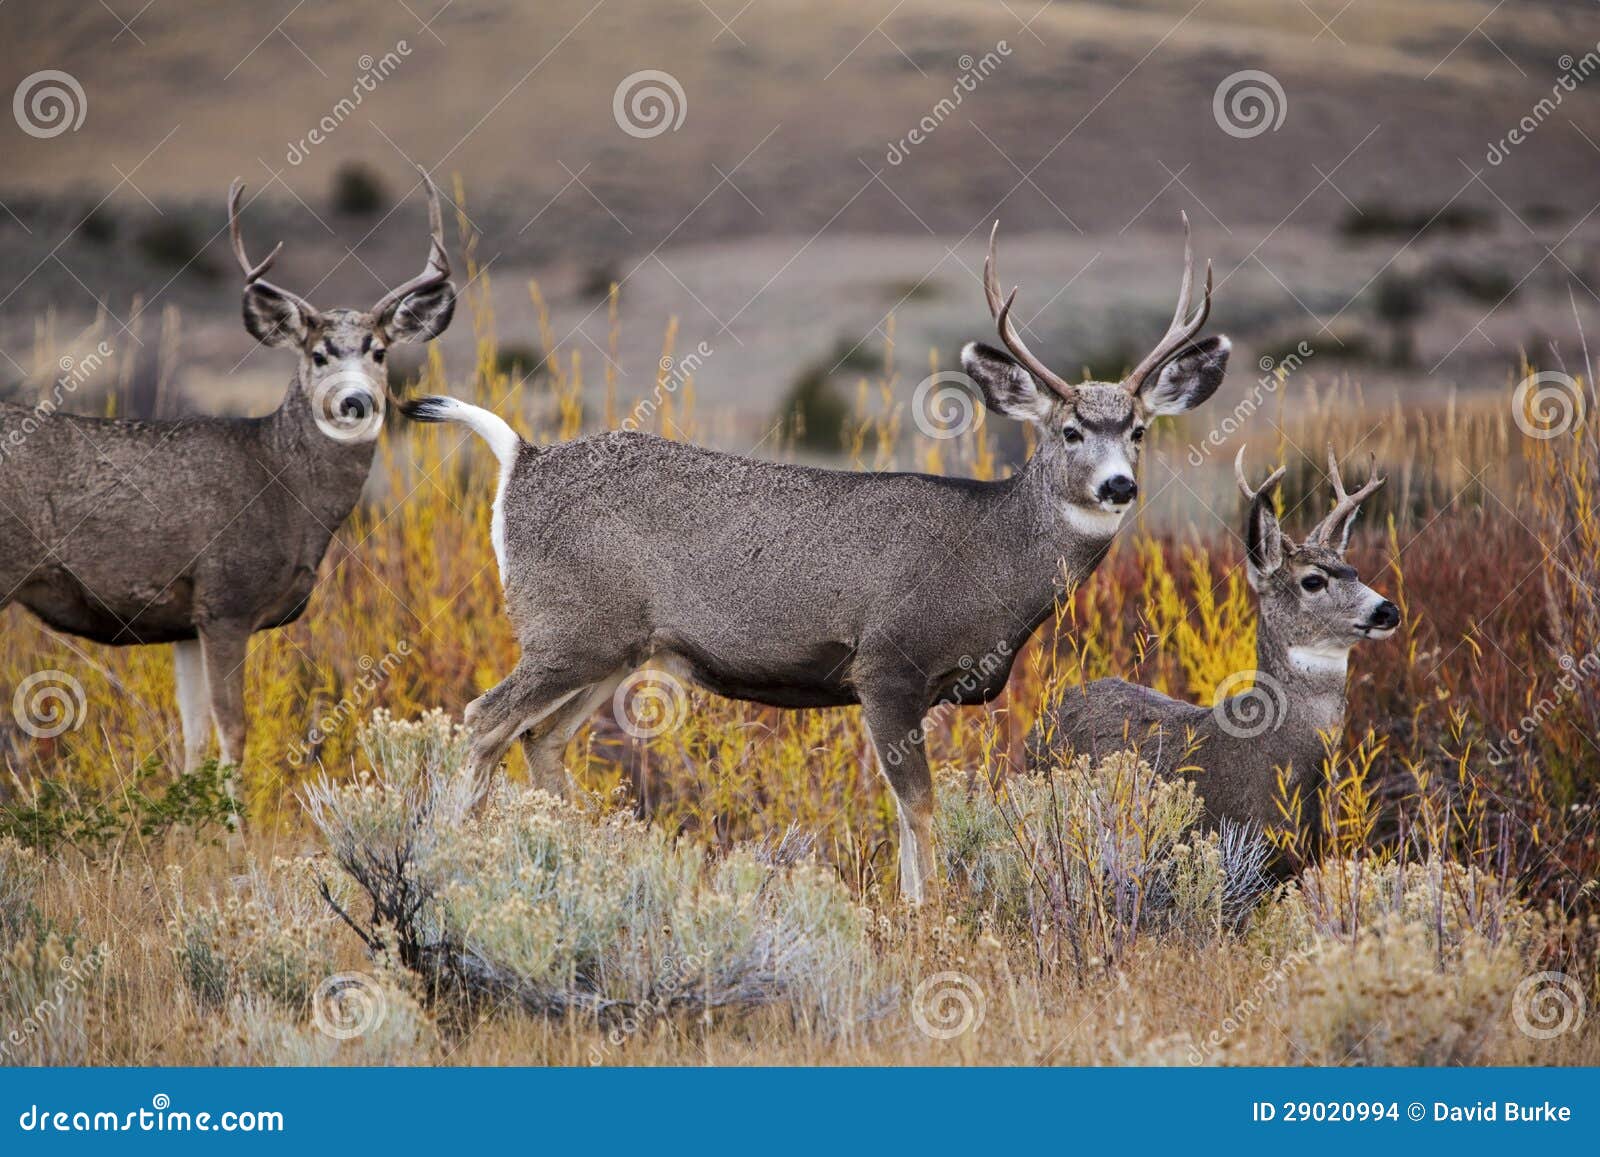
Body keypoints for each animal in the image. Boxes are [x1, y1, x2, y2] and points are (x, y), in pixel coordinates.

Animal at [0, 166, 456, 779]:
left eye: (380, 351)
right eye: (317, 354)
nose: (355, 401)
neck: (283, 484)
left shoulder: (185, 622)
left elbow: (192, 743)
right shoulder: (226, 601)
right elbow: (233, 733)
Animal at [398, 215, 1230, 902]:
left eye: (1140, 430)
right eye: (1068, 430)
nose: (1119, 484)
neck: (993, 554)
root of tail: (522, 459)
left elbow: (903, 815)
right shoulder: (887, 663)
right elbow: (921, 809)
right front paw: (930, 920)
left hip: (612, 645)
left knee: (539, 737)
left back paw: (582, 861)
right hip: (569, 629)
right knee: (483, 718)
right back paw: (446, 866)